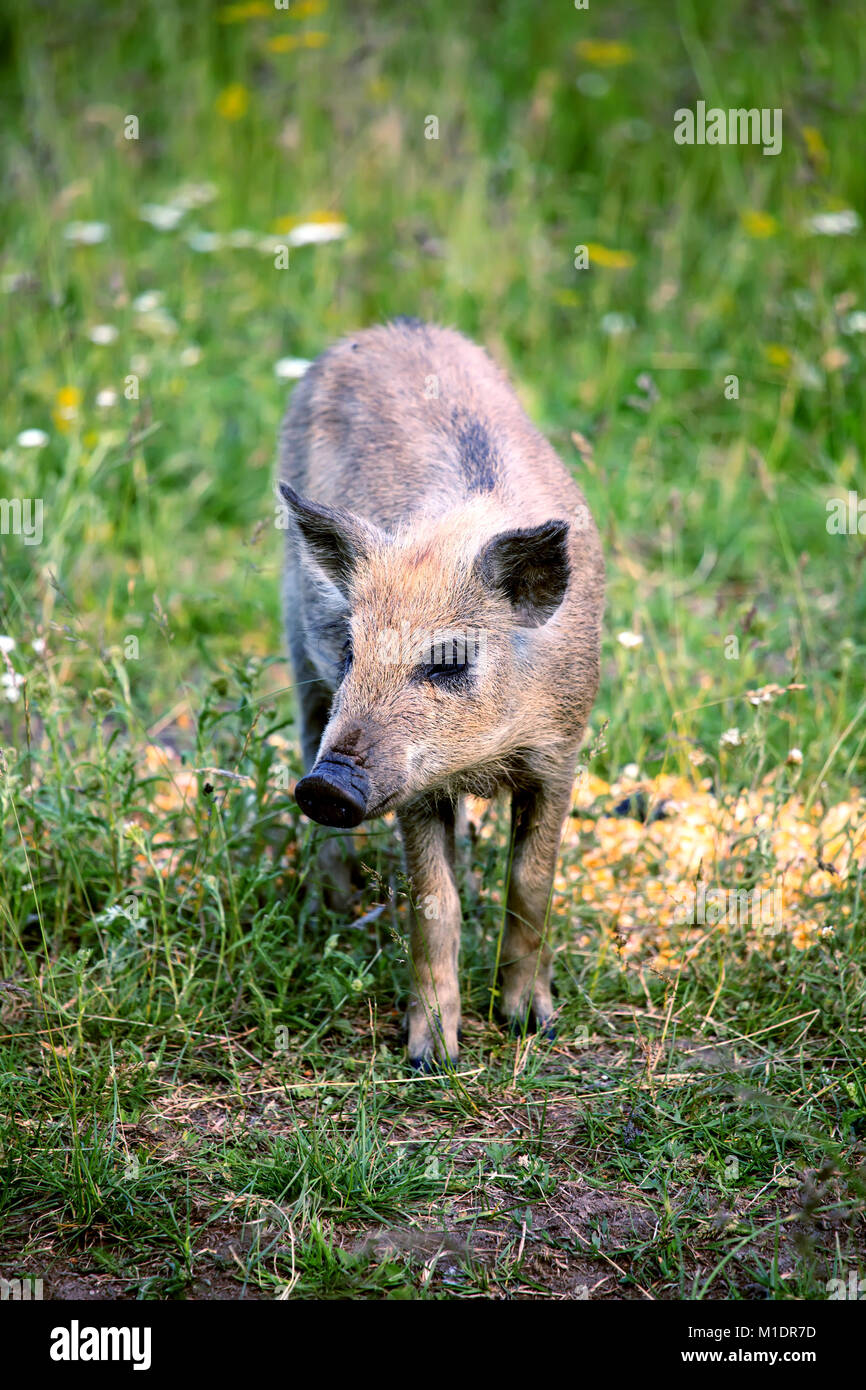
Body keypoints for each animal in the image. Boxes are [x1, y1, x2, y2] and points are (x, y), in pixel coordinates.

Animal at [277, 318, 604, 1070]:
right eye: (351, 650)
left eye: (450, 660)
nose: (329, 787)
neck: (483, 759)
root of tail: (389, 326)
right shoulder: (415, 788)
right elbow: (434, 902)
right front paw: (432, 1059)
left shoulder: (560, 754)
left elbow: (532, 884)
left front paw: (531, 1024)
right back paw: (331, 907)